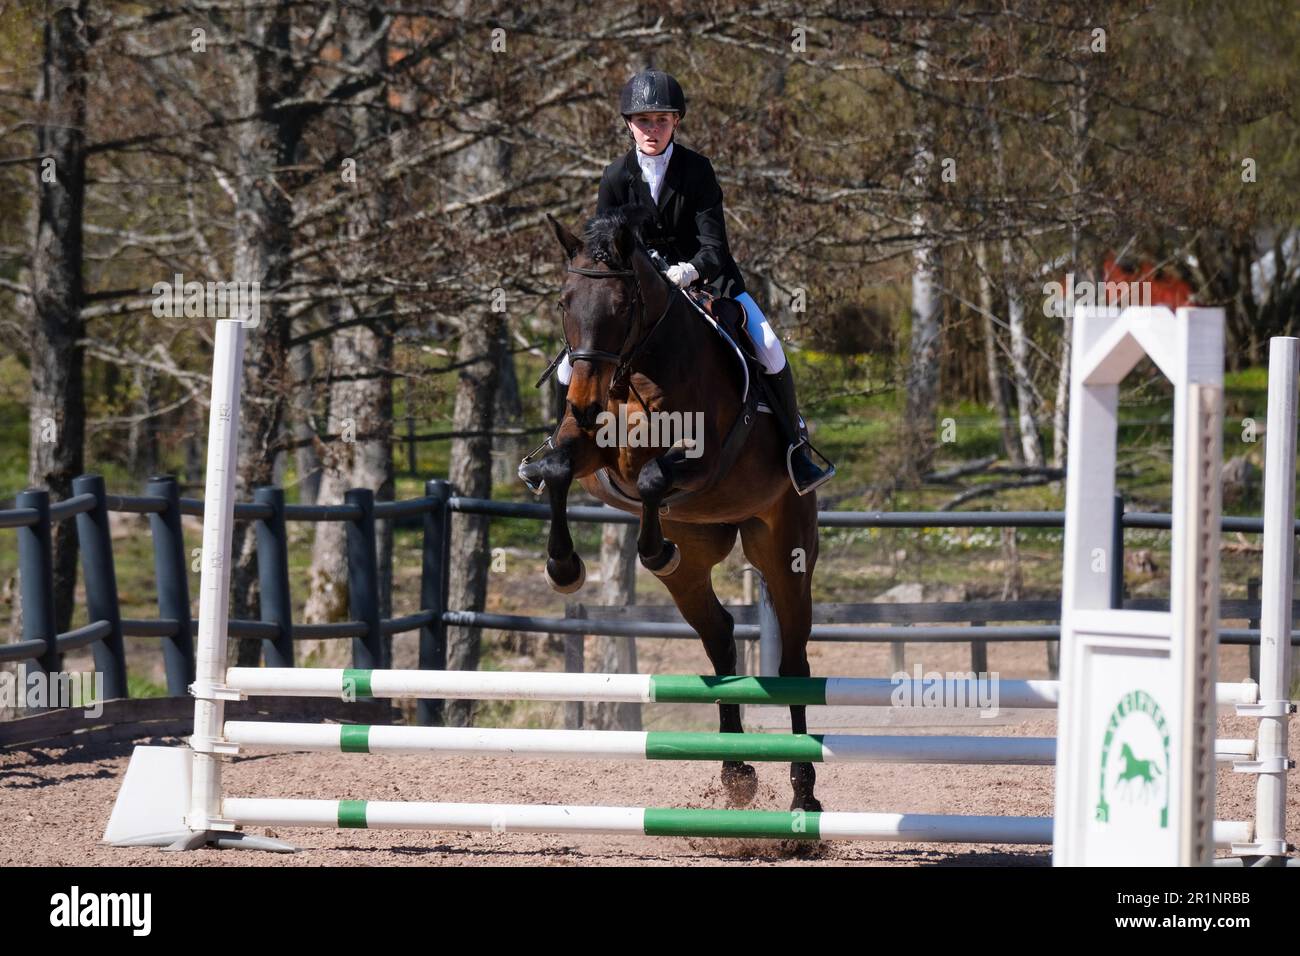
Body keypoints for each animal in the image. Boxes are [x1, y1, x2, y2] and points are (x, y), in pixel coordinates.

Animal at [520, 206, 822, 812]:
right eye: (564, 302)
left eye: (621, 307)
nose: (582, 404)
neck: (634, 370)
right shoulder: (588, 449)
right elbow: (560, 469)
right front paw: (564, 567)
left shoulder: (703, 459)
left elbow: (655, 477)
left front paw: (653, 549)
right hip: (699, 554)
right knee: (721, 639)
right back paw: (736, 774)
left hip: (786, 550)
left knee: (793, 662)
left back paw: (803, 794)